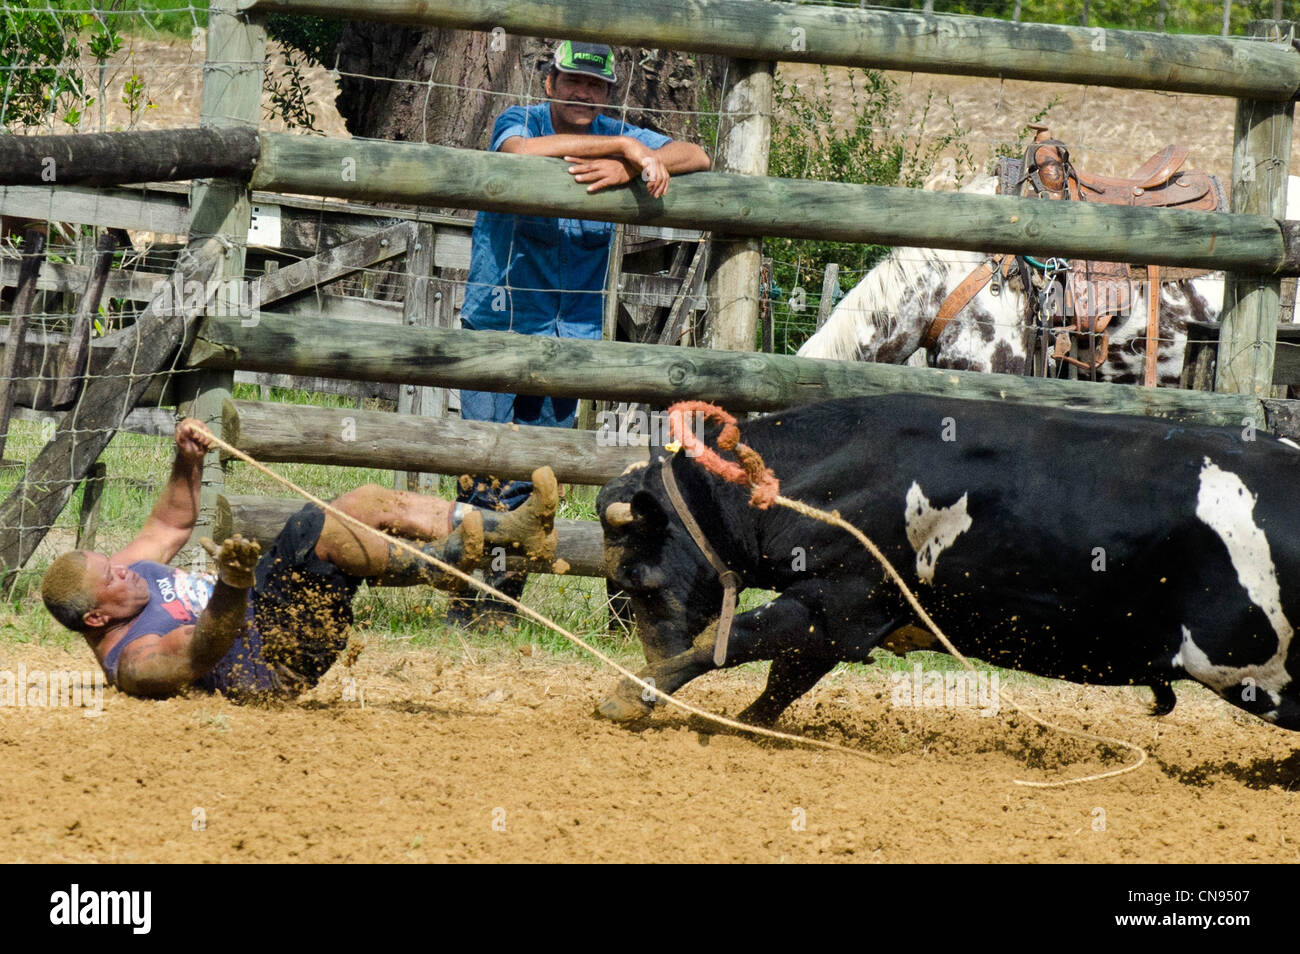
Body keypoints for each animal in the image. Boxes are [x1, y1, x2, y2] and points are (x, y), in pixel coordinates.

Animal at [594, 394, 1300, 731]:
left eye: (633, 579)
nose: (647, 650)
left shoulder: (838, 600)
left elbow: (733, 640)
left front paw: (630, 695)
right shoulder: (838, 616)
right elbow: (780, 683)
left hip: (1253, 667)